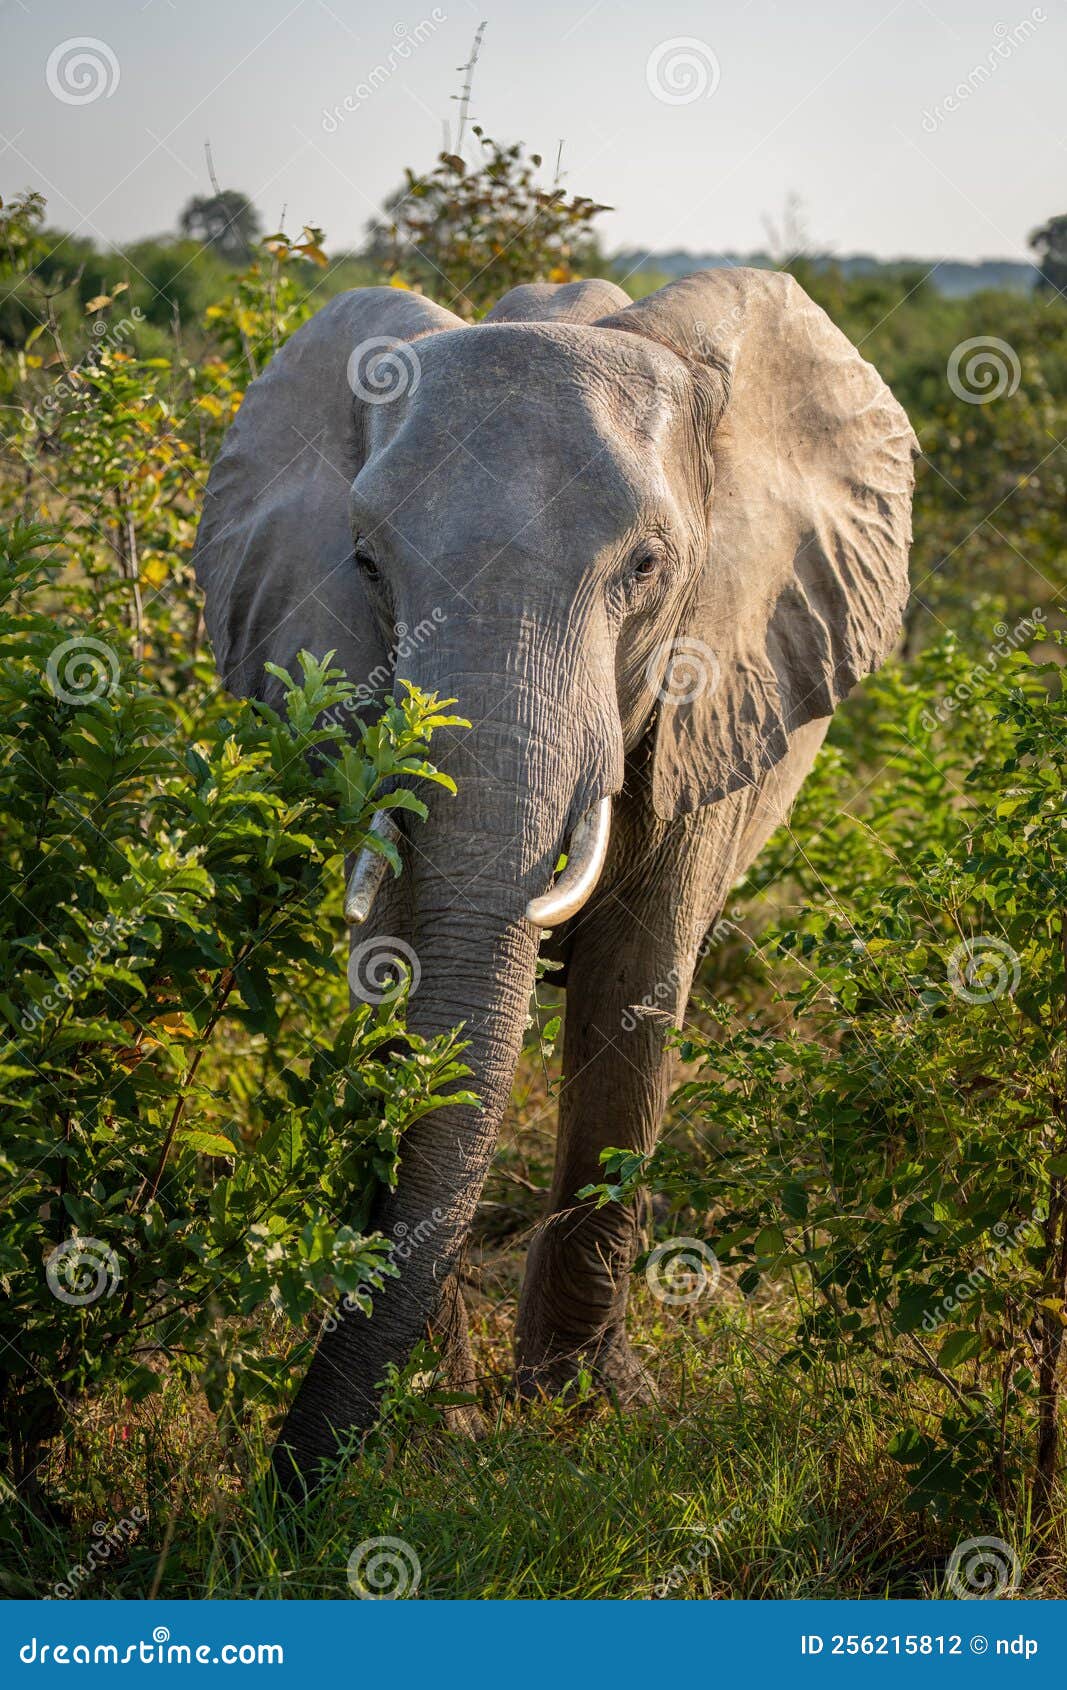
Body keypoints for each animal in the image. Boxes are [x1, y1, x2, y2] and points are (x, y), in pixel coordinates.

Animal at [192, 268, 918, 1493]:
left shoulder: (711, 697)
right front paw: (430, 1425)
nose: (281, 1492)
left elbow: (634, 989)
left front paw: (585, 1409)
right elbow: (397, 979)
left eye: (647, 569)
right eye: (365, 563)